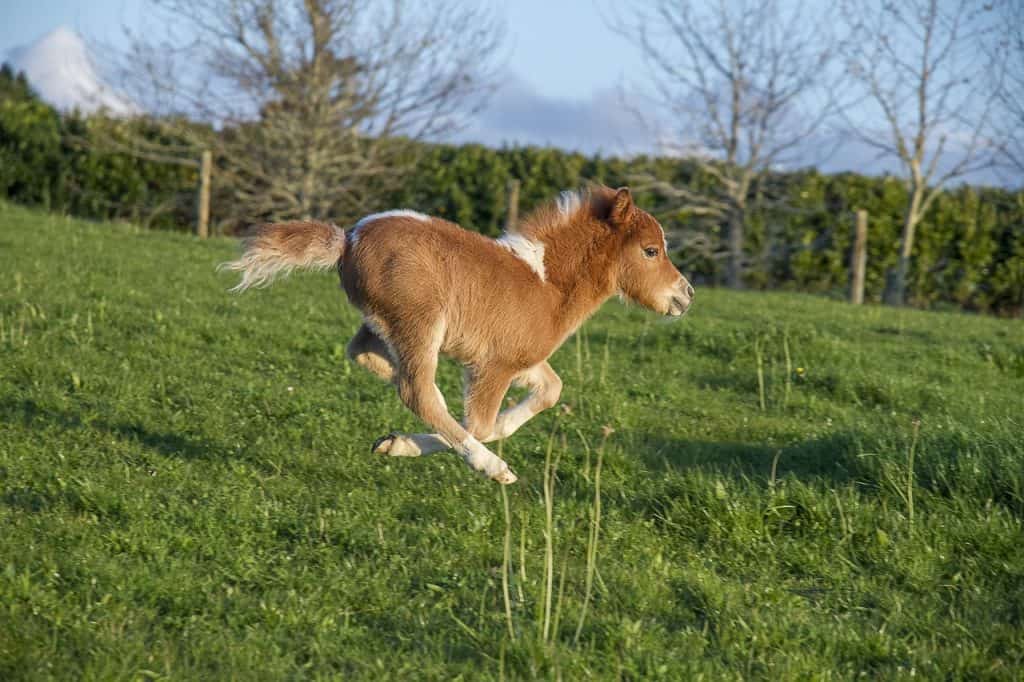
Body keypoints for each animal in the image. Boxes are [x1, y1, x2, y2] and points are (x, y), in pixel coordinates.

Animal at [224, 185, 694, 484]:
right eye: (651, 250)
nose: (686, 295)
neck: (548, 285)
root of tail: (348, 239)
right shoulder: (494, 366)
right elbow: (480, 425)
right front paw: (467, 452)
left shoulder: (522, 359)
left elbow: (549, 391)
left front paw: (399, 442)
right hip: (420, 322)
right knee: (417, 391)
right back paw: (488, 464)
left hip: (386, 322)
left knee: (365, 353)